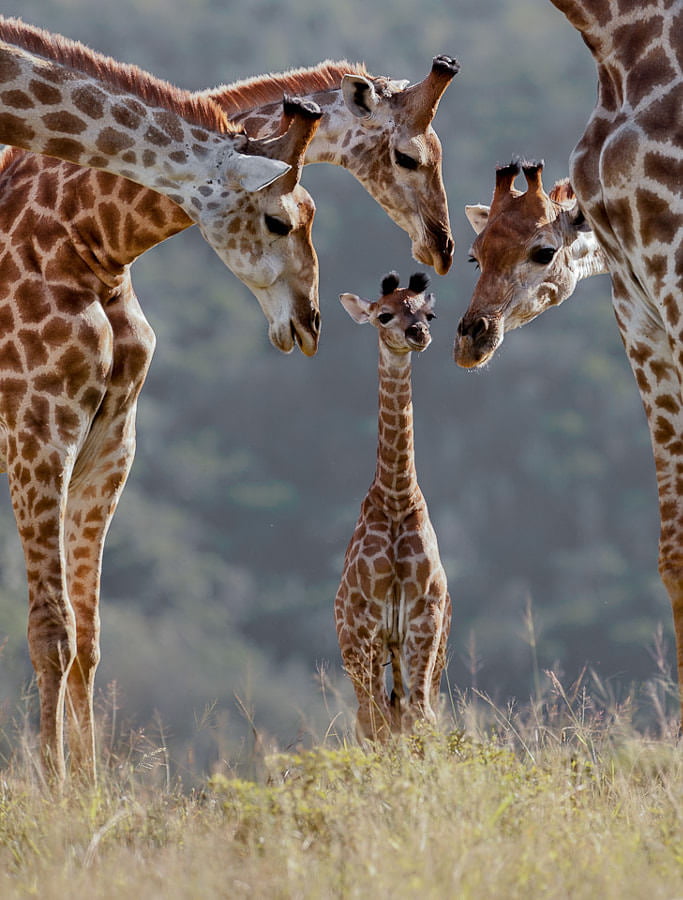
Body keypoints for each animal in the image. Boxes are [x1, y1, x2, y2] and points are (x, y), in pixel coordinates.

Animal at [0, 18, 325, 782]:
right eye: (278, 221)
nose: (310, 323)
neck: (85, 245)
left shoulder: (108, 444)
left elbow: (88, 638)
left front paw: (88, 786)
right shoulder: (36, 430)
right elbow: (51, 630)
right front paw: (54, 789)